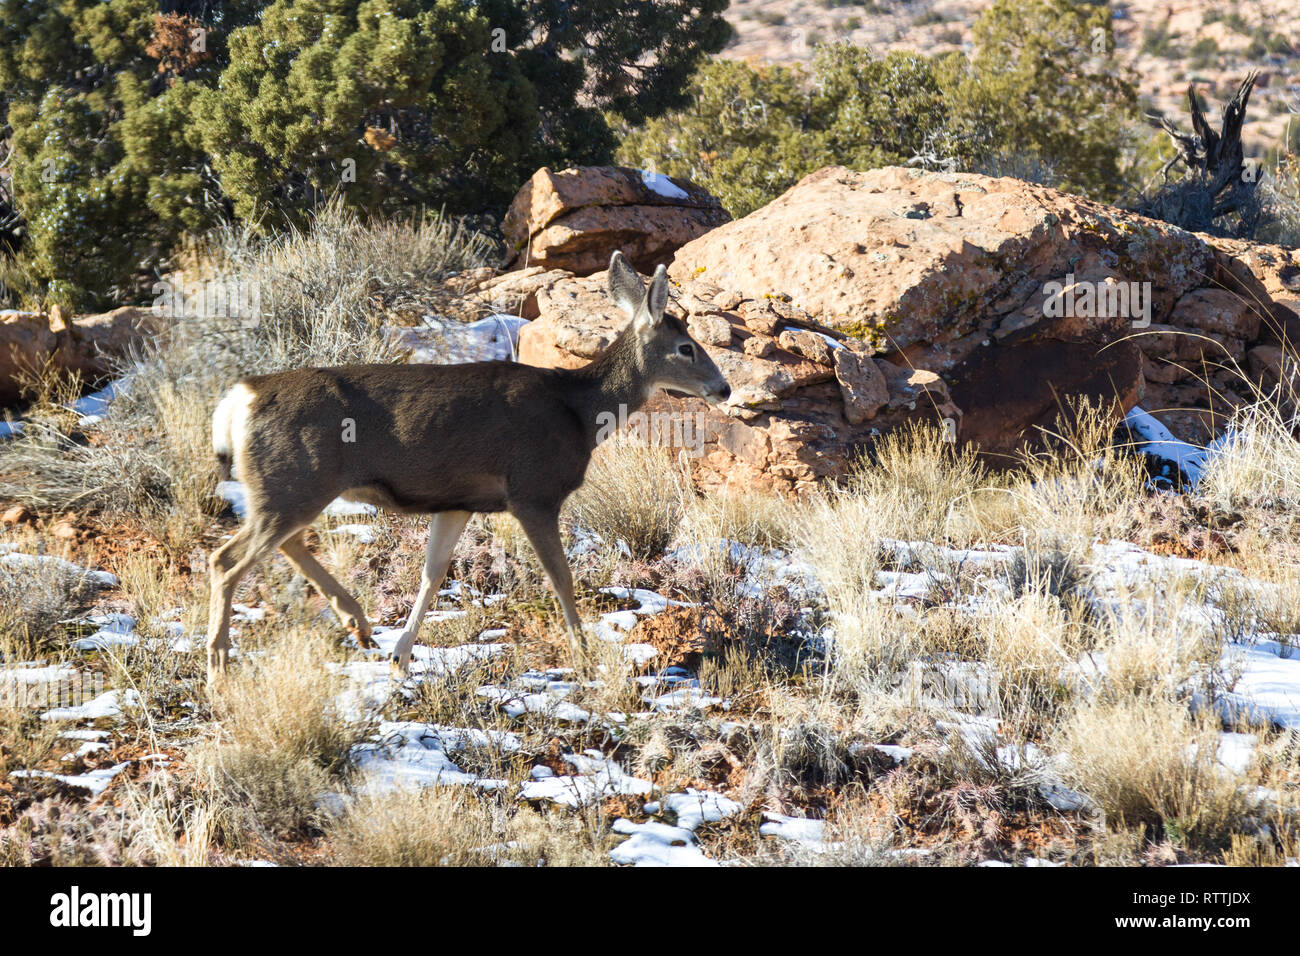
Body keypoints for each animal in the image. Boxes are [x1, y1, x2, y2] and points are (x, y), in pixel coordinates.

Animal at [205, 251, 730, 688]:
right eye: (686, 347)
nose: (724, 388)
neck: (579, 410)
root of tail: (241, 398)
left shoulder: (457, 500)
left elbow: (432, 574)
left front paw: (399, 657)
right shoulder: (533, 491)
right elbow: (560, 576)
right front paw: (585, 656)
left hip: (292, 486)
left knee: (285, 543)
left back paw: (358, 623)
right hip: (296, 479)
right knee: (227, 559)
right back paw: (218, 666)